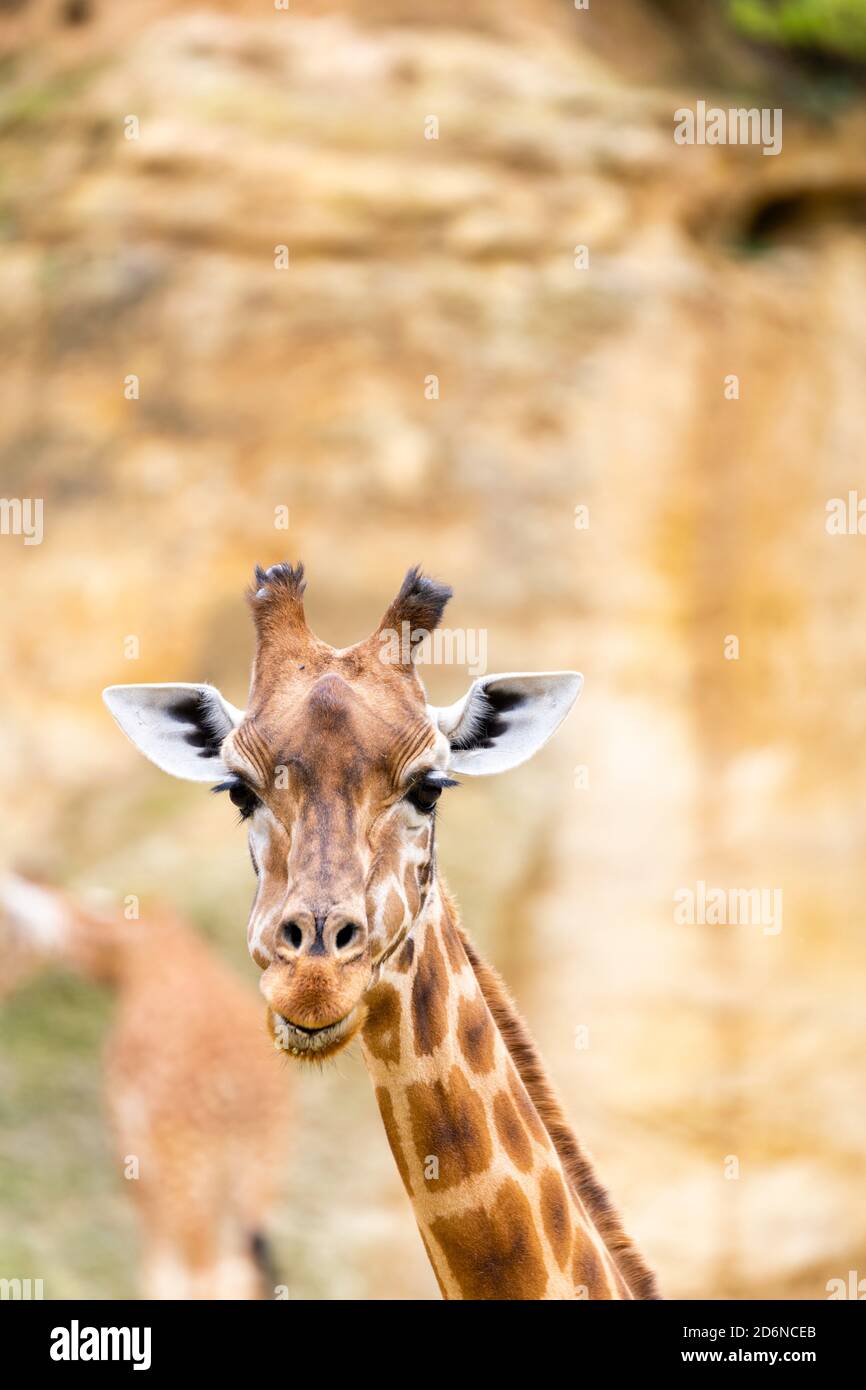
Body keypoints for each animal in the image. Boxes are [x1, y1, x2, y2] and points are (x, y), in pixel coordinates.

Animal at [0, 874, 292, 1299]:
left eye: (12, 937)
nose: (4, 990)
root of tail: (233, 1100)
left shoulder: (129, 1142)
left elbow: (158, 1264)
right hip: (259, 1172)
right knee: (243, 1269)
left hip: (191, 1177)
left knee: (206, 1271)